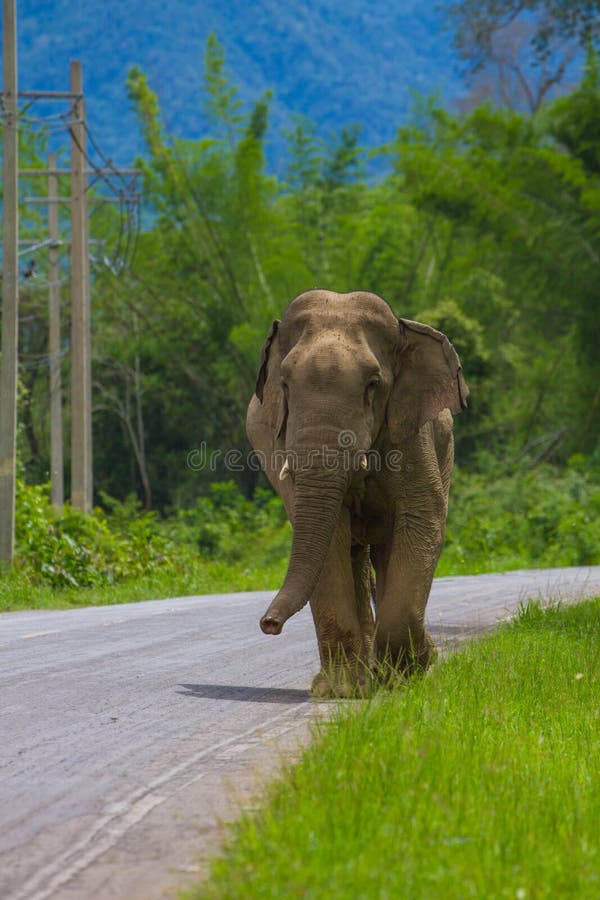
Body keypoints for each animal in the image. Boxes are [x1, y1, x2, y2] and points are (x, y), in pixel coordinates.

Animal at [246, 289, 469, 698]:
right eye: (284, 385)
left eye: (373, 384)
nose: (268, 624)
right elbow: (330, 536)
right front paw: (339, 692)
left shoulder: (411, 434)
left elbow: (422, 522)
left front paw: (407, 675)